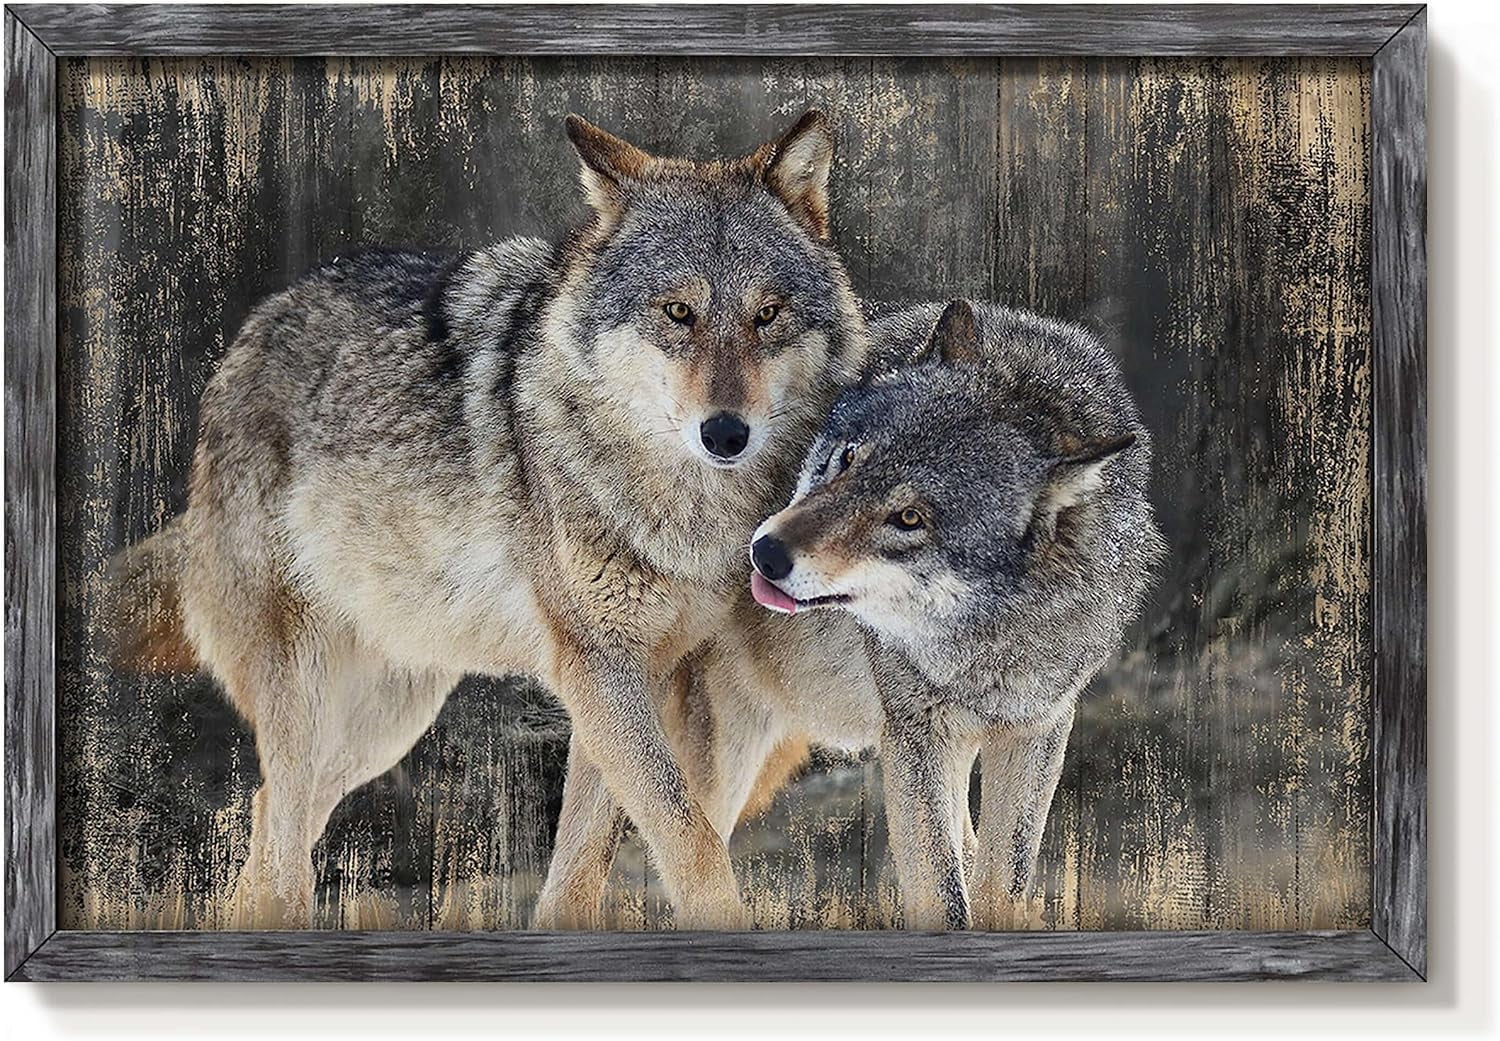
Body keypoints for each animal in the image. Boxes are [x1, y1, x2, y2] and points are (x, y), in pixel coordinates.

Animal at [112, 110, 869, 929]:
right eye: (679, 312)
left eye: (768, 315)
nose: (727, 433)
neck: (683, 507)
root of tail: (249, 335)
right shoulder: (597, 666)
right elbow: (689, 837)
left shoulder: (630, 676)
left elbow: (584, 865)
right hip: (308, 694)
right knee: (279, 830)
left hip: (386, 720)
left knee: (262, 817)